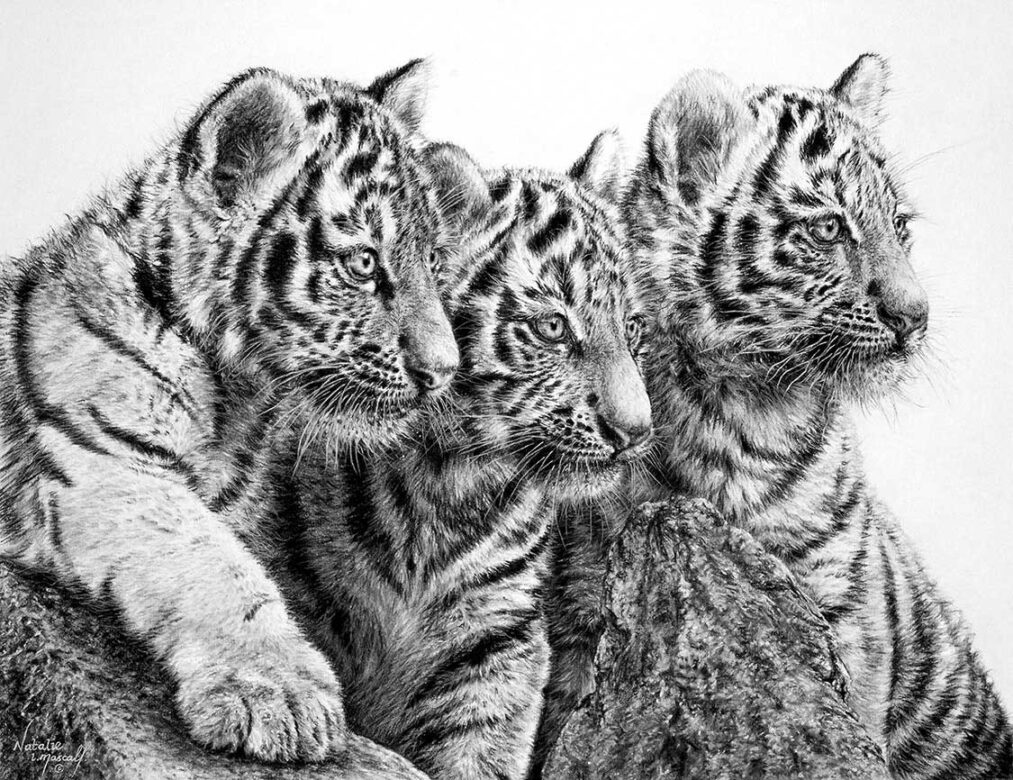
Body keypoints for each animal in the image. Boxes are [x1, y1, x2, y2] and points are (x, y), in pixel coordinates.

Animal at [0, 60, 459, 764]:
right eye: (362, 263)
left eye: (432, 261)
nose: (443, 372)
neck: (240, 398)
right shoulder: (113, 465)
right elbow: (214, 568)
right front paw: (277, 697)